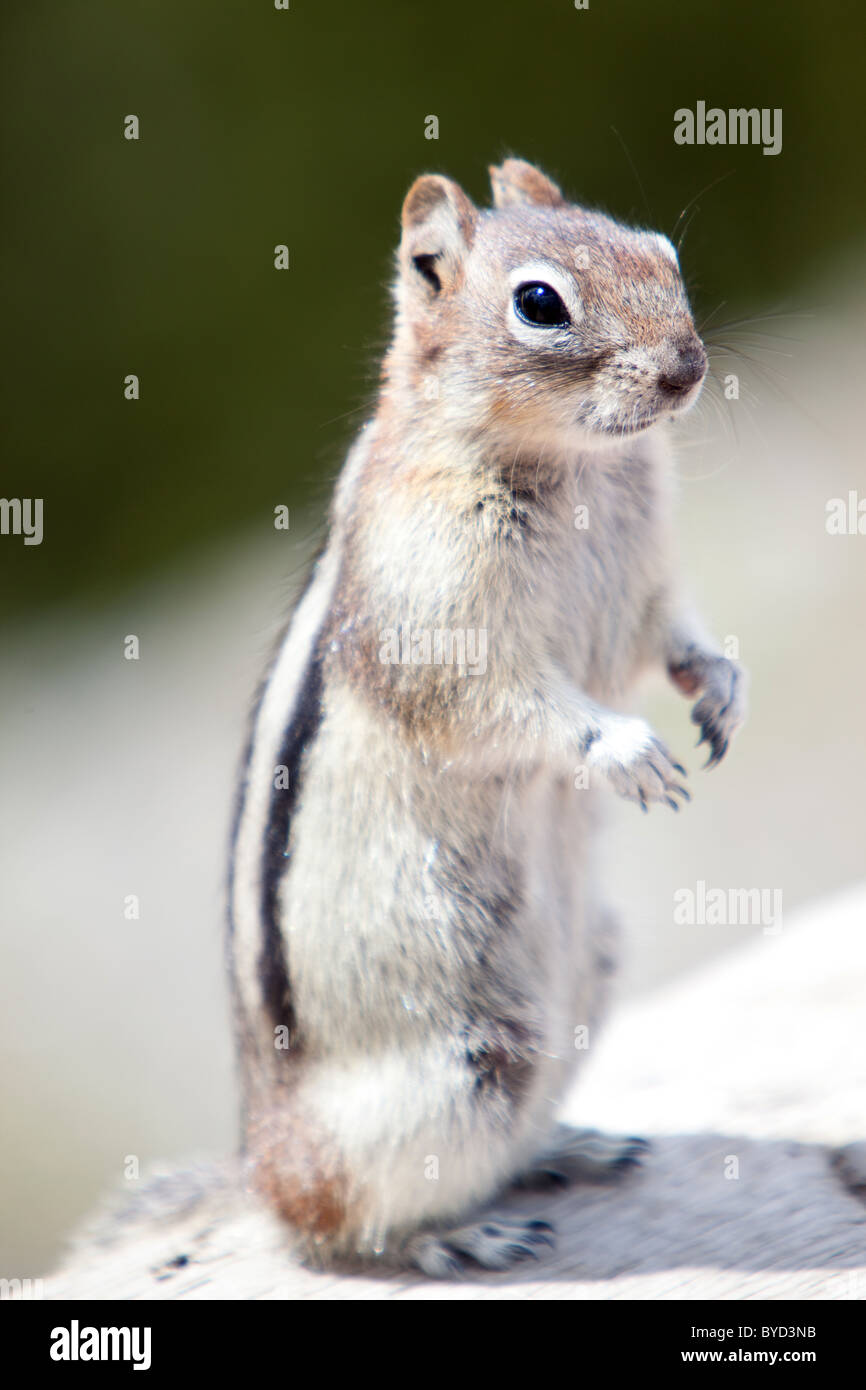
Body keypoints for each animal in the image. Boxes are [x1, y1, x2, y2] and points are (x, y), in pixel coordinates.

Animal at [227, 158, 746, 1277]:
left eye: (659, 251)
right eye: (539, 304)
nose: (686, 367)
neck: (578, 463)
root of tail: (261, 1150)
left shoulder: (645, 590)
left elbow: (671, 639)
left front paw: (721, 686)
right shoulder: (440, 620)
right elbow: (497, 702)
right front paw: (624, 748)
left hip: (580, 979)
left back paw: (571, 1146)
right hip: (451, 1070)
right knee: (337, 1223)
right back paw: (457, 1235)